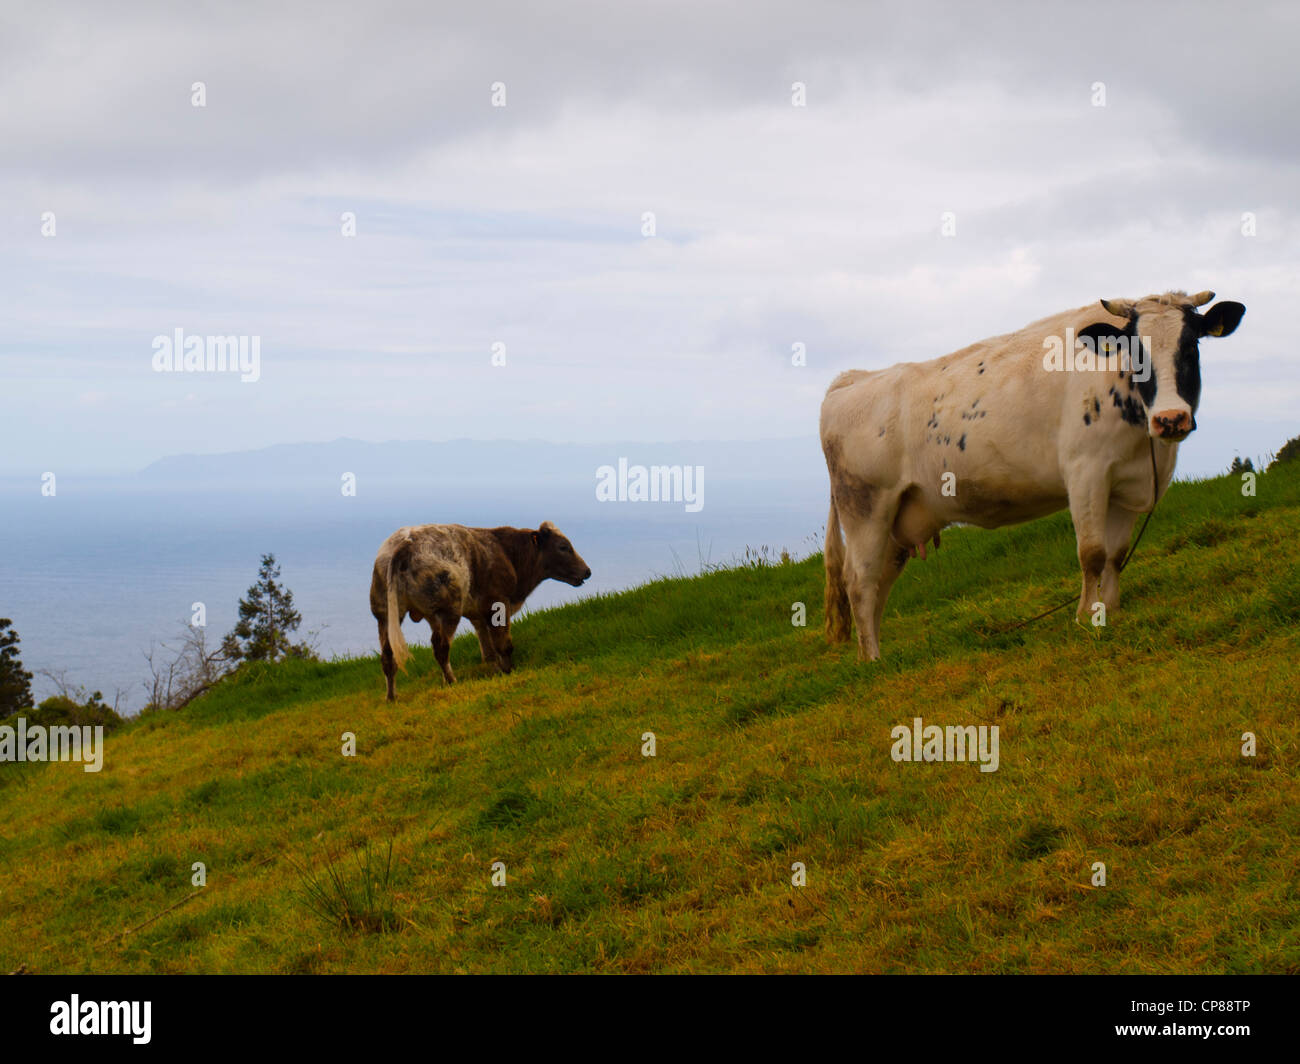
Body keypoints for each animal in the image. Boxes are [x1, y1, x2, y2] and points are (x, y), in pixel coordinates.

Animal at [370, 520, 591, 699]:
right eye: (563, 547)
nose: (587, 571)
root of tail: (406, 541)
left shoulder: (477, 614)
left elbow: (487, 647)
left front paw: (496, 669)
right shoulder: (497, 603)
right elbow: (503, 644)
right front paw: (508, 670)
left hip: (385, 613)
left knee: (387, 655)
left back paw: (391, 696)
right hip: (448, 609)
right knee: (440, 647)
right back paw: (451, 681)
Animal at [820, 290, 1246, 661]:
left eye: (1190, 347)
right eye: (1136, 354)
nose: (1171, 419)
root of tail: (852, 379)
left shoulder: (1126, 484)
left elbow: (1116, 554)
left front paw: (1110, 609)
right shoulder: (1085, 470)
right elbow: (1092, 553)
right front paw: (1085, 617)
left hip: (898, 521)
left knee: (878, 584)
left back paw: (873, 655)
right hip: (865, 508)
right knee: (859, 582)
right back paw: (873, 660)